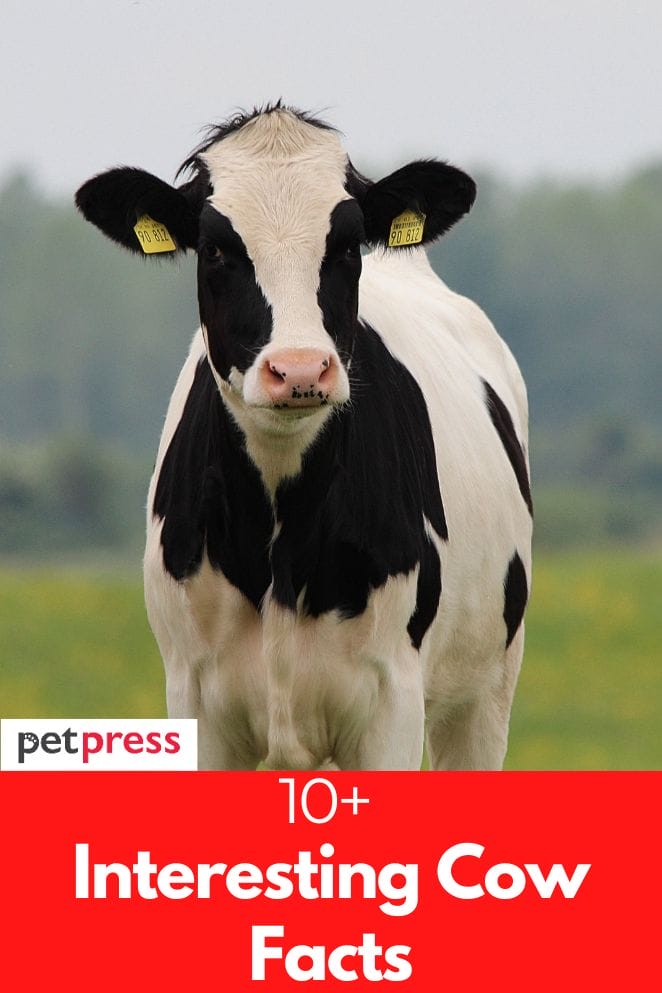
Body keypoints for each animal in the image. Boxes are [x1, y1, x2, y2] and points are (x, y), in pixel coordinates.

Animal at [76, 103, 532, 771]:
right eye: (215, 248)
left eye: (345, 245)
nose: (298, 369)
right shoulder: (193, 698)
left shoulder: (392, 704)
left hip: (485, 693)